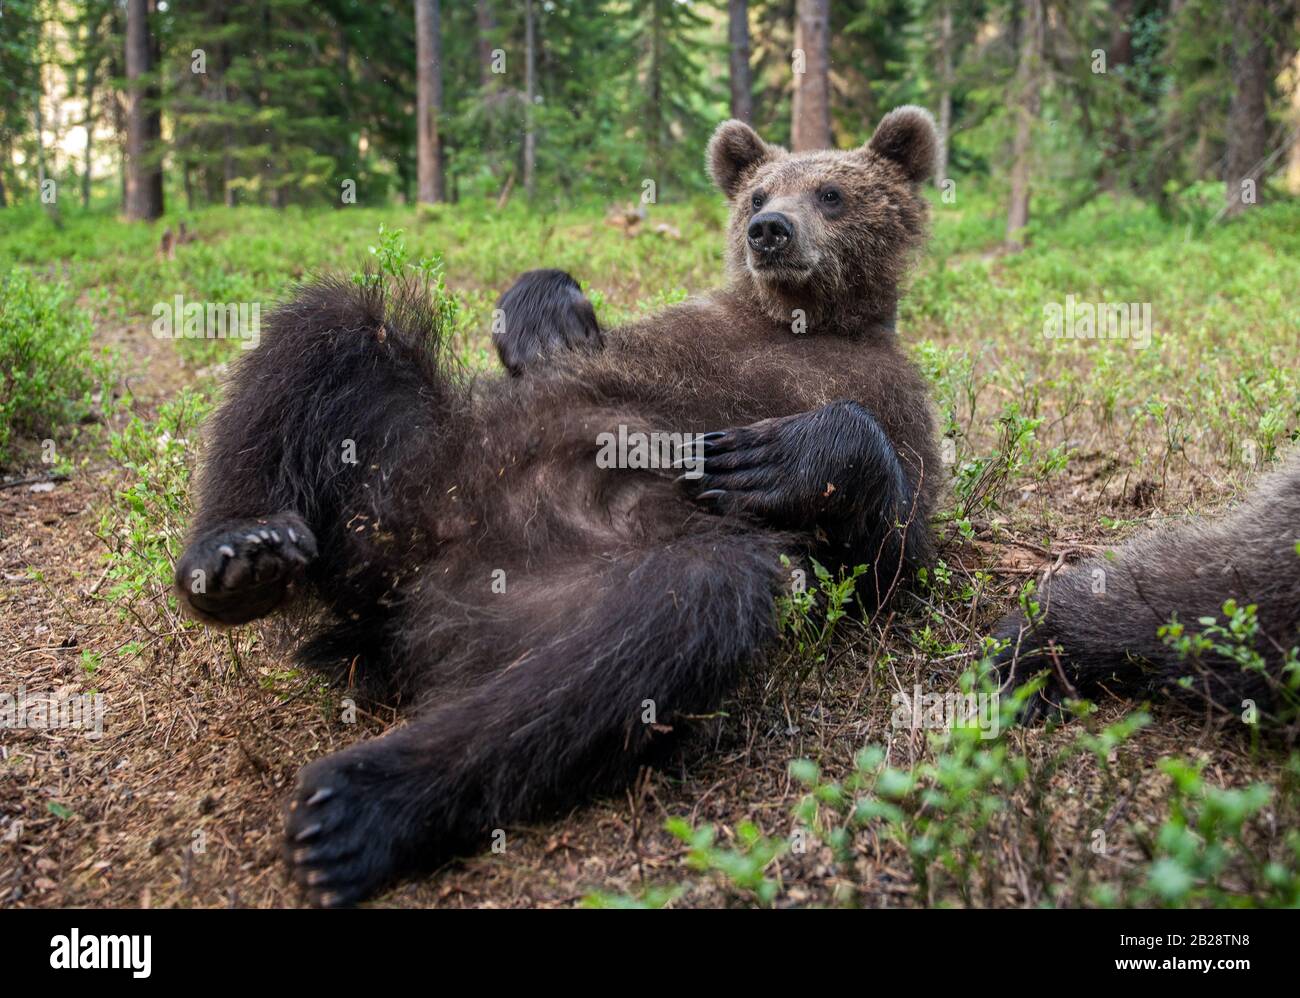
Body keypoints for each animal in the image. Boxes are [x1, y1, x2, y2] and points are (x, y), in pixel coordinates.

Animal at [174, 106, 942, 906]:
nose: (771, 230)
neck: (797, 321)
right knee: (330, 326)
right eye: (758, 193)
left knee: (650, 625)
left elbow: (896, 559)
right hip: (406, 466)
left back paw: (355, 810)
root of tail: (409, 580)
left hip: (537, 585)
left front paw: (776, 456)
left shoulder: (892, 398)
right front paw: (550, 315)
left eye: (831, 193)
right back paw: (239, 557)